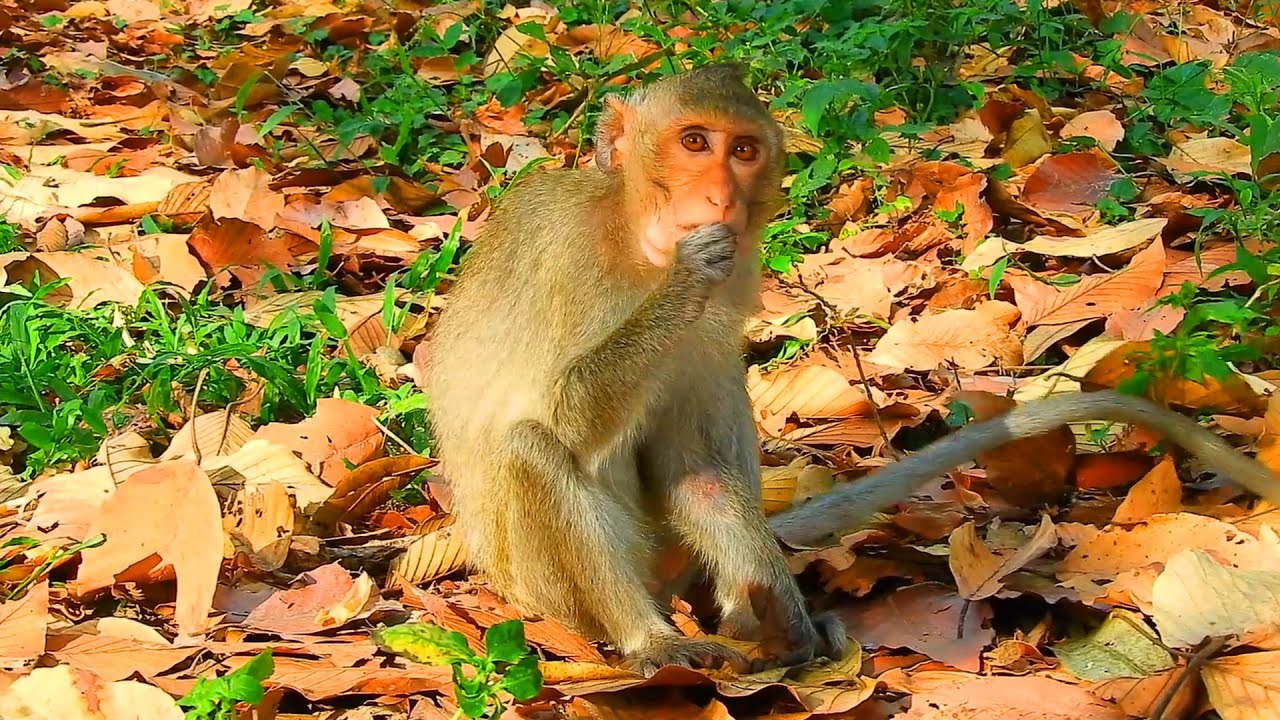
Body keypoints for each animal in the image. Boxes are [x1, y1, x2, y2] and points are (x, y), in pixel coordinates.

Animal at [423, 64, 1280, 677]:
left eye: (742, 152)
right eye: (694, 143)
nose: (719, 198)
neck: (635, 236)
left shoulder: (729, 302)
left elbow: (695, 469)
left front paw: (784, 614)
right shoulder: (568, 259)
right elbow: (564, 416)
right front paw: (684, 278)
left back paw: (756, 615)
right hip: (540, 586)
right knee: (532, 445)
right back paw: (648, 638)